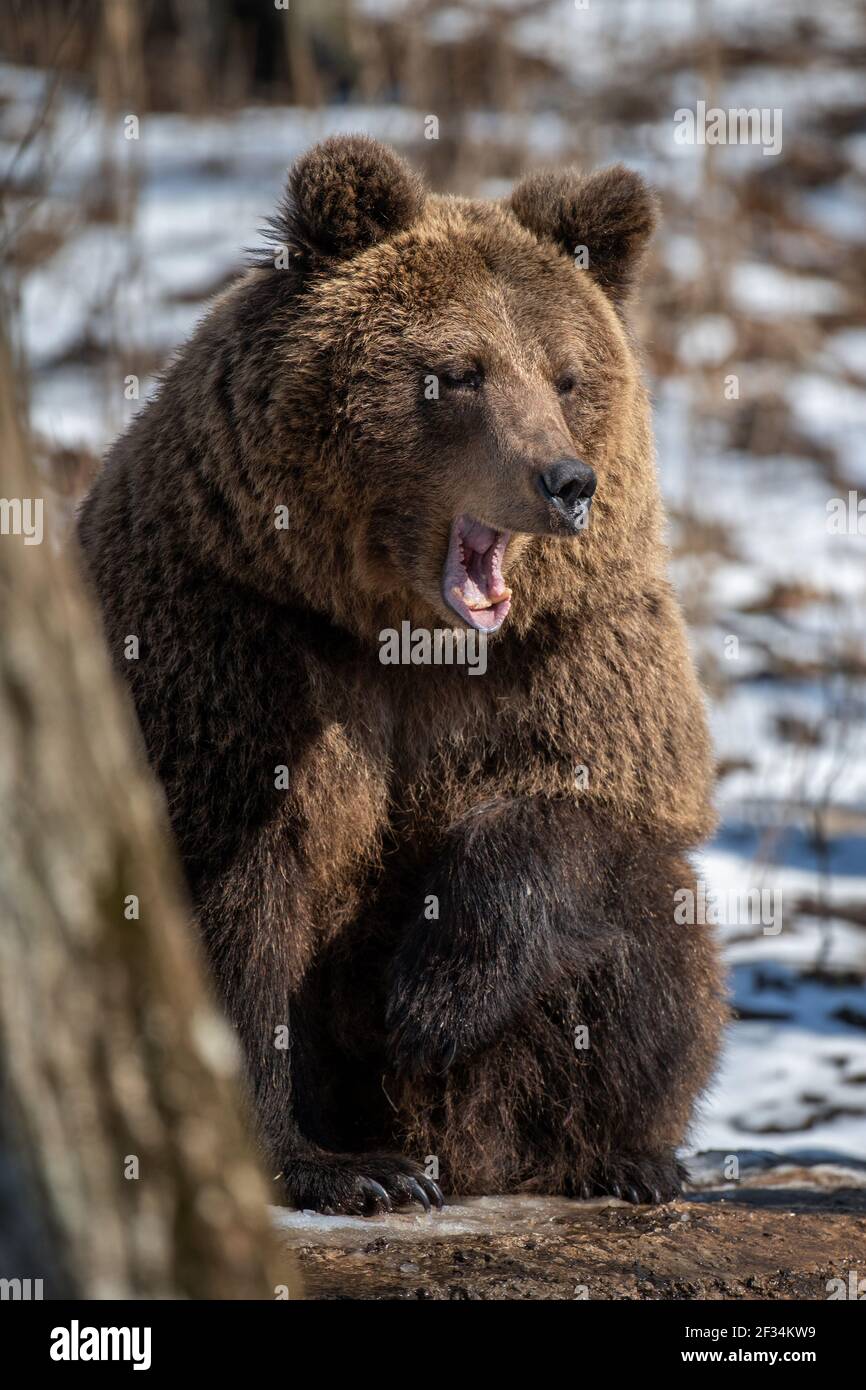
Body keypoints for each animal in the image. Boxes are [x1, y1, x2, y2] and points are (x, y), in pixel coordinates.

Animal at [76, 135, 726, 1215]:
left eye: (566, 376)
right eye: (457, 371)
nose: (566, 482)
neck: (401, 632)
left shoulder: (569, 650)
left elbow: (596, 803)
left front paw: (430, 998)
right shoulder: (231, 636)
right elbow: (242, 913)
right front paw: (322, 1165)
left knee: (654, 934)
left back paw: (620, 1154)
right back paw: (375, 1161)